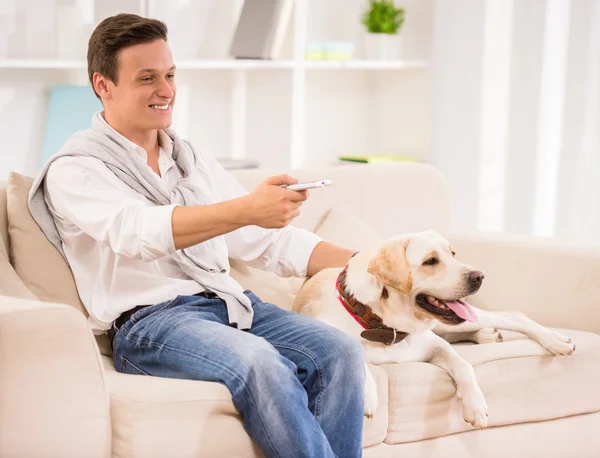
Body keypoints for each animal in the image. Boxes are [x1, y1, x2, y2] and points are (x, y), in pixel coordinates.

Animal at [294, 231, 576, 428]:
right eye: (430, 261)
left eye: (453, 254)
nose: (479, 276)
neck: (386, 326)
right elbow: (351, 352)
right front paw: (367, 395)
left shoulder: (433, 344)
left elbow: (464, 365)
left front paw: (475, 406)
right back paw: (488, 334)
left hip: (456, 321)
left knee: (512, 315)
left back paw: (555, 340)